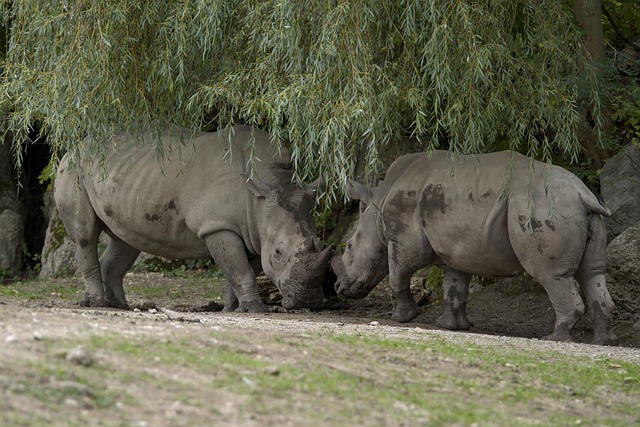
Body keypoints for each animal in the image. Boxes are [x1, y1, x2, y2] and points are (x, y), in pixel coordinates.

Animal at [54, 125, 331, 312]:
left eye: (320, 244)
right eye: (278, 253)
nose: (308, 300)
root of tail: (72, 148)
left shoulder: (252, 231)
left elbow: (241, 269)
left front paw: (232, 309)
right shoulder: (218, 226)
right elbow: (239, 269)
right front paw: (253, 309)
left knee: (125, 240)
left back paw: (119, 306)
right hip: (73, 170)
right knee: (85, 236)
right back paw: (98, 304)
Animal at [332, 150, 618, 346]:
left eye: (349, 247)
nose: (338, 287)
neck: (376, 206)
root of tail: (582, 195)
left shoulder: (404, 241)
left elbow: (398, 275)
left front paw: (402, 318)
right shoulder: (458, 250)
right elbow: (454, 287)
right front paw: (451, 326)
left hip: (544, 207)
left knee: (552, 276)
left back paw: (554, 338)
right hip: (579, 210)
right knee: (592, 274)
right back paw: (603, 341)